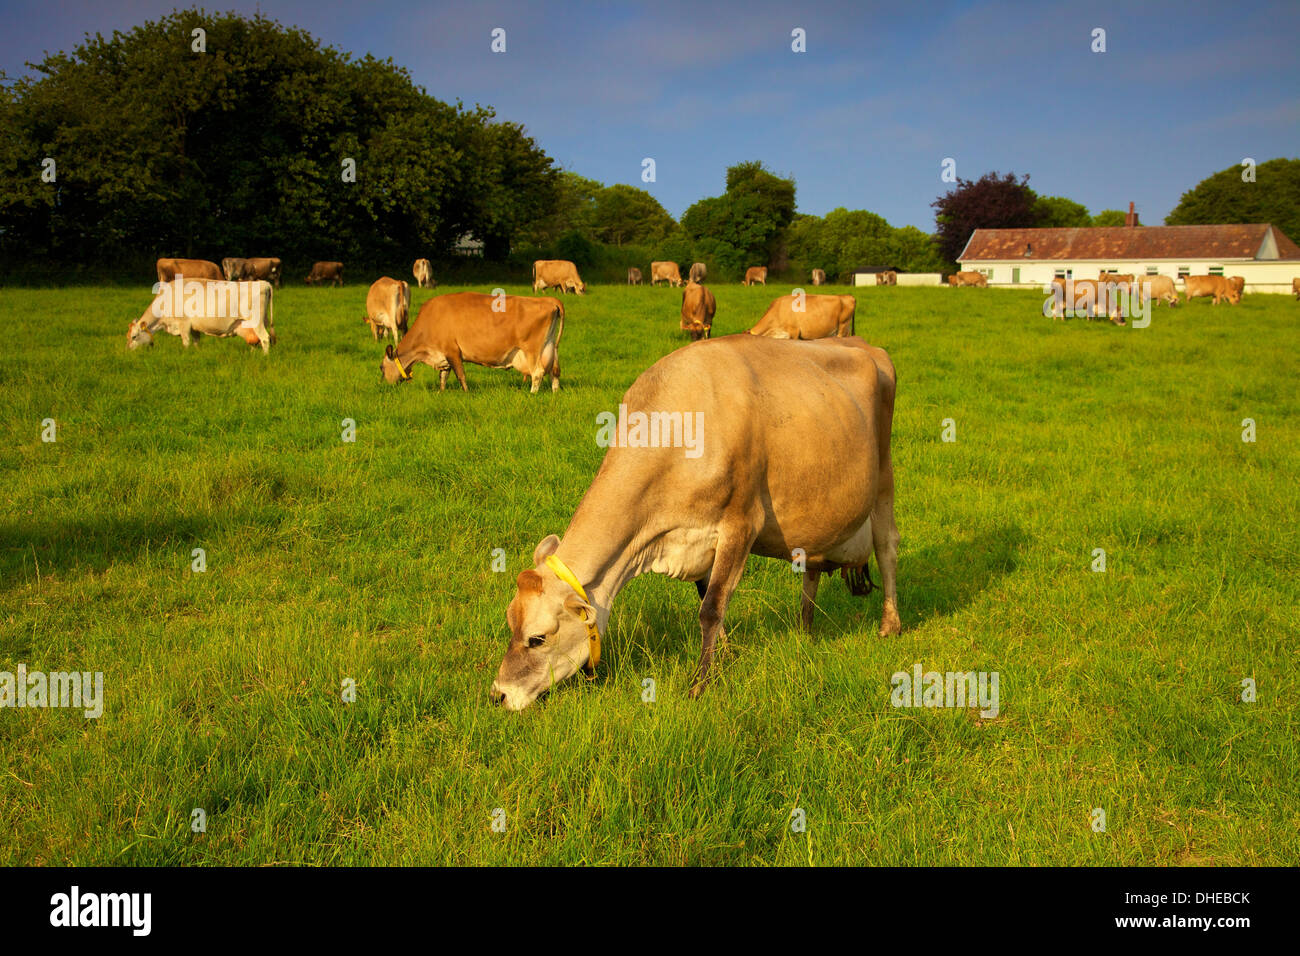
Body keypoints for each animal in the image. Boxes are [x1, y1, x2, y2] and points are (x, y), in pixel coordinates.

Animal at [127, 278, 275, 353]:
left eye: (134, 336)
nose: (127, 351)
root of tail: (263, 282)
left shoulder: (184, 324)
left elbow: (186, 343)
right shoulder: (194, 328)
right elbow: (196, 342)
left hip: (256, 322)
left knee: (265, 338)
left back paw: (264, 356)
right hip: (262, 321)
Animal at [380, 291, 563, 392]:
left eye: (381, 367)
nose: (383, 384)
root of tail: (548, 300)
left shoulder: (452, 351)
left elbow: (460, 375)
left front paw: (466, 393)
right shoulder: (443, 356)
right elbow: (443, 376)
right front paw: (441, 392)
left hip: (531, 350)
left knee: (537, 372)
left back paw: (532, 394)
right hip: (551, 347)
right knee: (554, 372)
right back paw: (555, 393)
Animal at [488, 333, 900, 711]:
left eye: (538, 638)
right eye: (510, 623)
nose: (498, 694)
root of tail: (864, 344)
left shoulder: (742, 523)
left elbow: (712, 607)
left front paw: (700, 683)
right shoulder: (694, 539)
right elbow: (707, 598)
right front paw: (724, 656)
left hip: (882, 478)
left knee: (887, 547)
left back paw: (889, 625)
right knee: (812, 569)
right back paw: (804, 630)